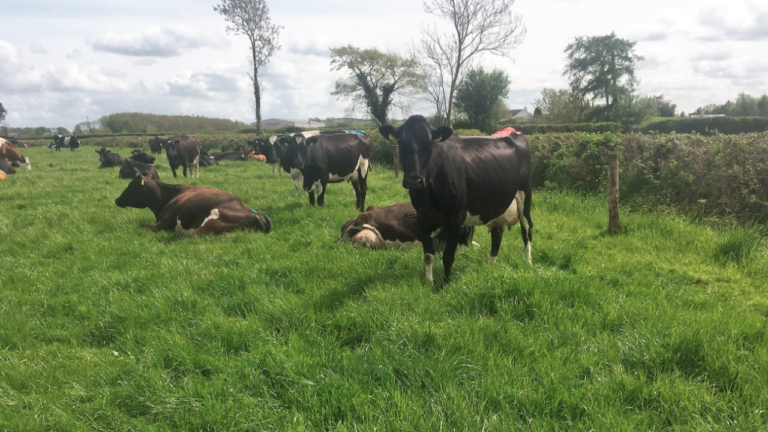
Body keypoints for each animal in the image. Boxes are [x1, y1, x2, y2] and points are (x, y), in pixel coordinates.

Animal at [114, 172, 271, 237]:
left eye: (131, 186)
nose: (117, 200)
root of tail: (257, 215)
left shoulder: (163, 223)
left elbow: (141, 225)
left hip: (207, 225)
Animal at [379, 115, 533, 285]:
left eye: (429, 145)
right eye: (401, 144)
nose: (414, 180)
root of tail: (514, 132)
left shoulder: (456, 218)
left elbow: (448, 256)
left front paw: (446, 284)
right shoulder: (422, 217)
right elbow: (428, 255)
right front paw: (429, 283)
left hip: (525, 194)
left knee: (526, 228)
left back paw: (528, 263)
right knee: (497, 233)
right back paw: (491, 266)